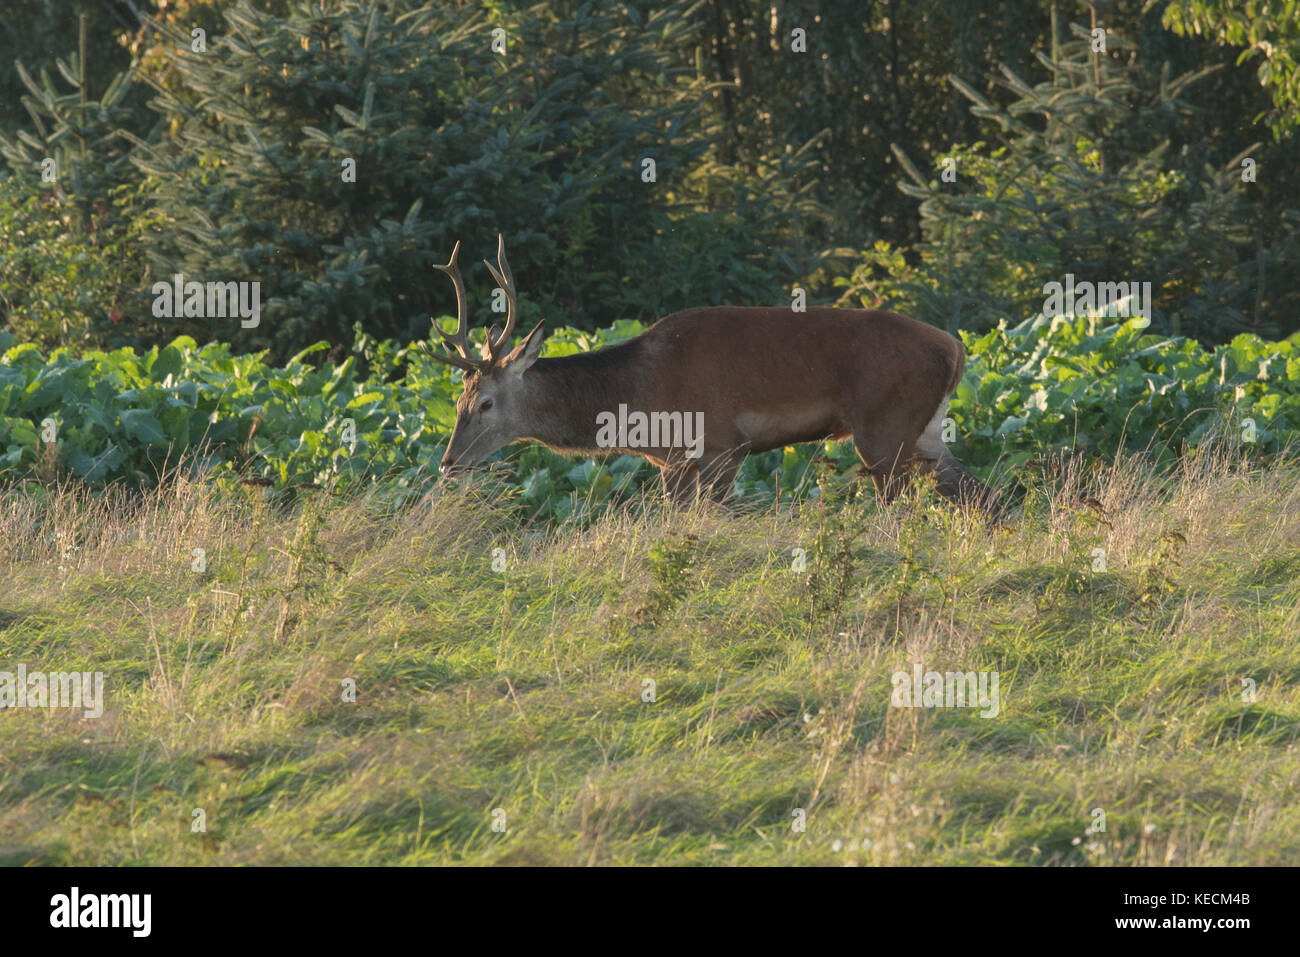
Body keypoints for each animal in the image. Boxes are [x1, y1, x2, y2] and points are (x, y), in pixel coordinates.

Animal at [427, 236, 1000, 518]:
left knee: (900, 508)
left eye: (485, 403)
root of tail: (956, 348)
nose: (448, 464)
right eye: (457, 402)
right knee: (983, 495)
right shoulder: (673, 463)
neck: (637, 398)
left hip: (883, 427)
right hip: (925, 431)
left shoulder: (723, 444)